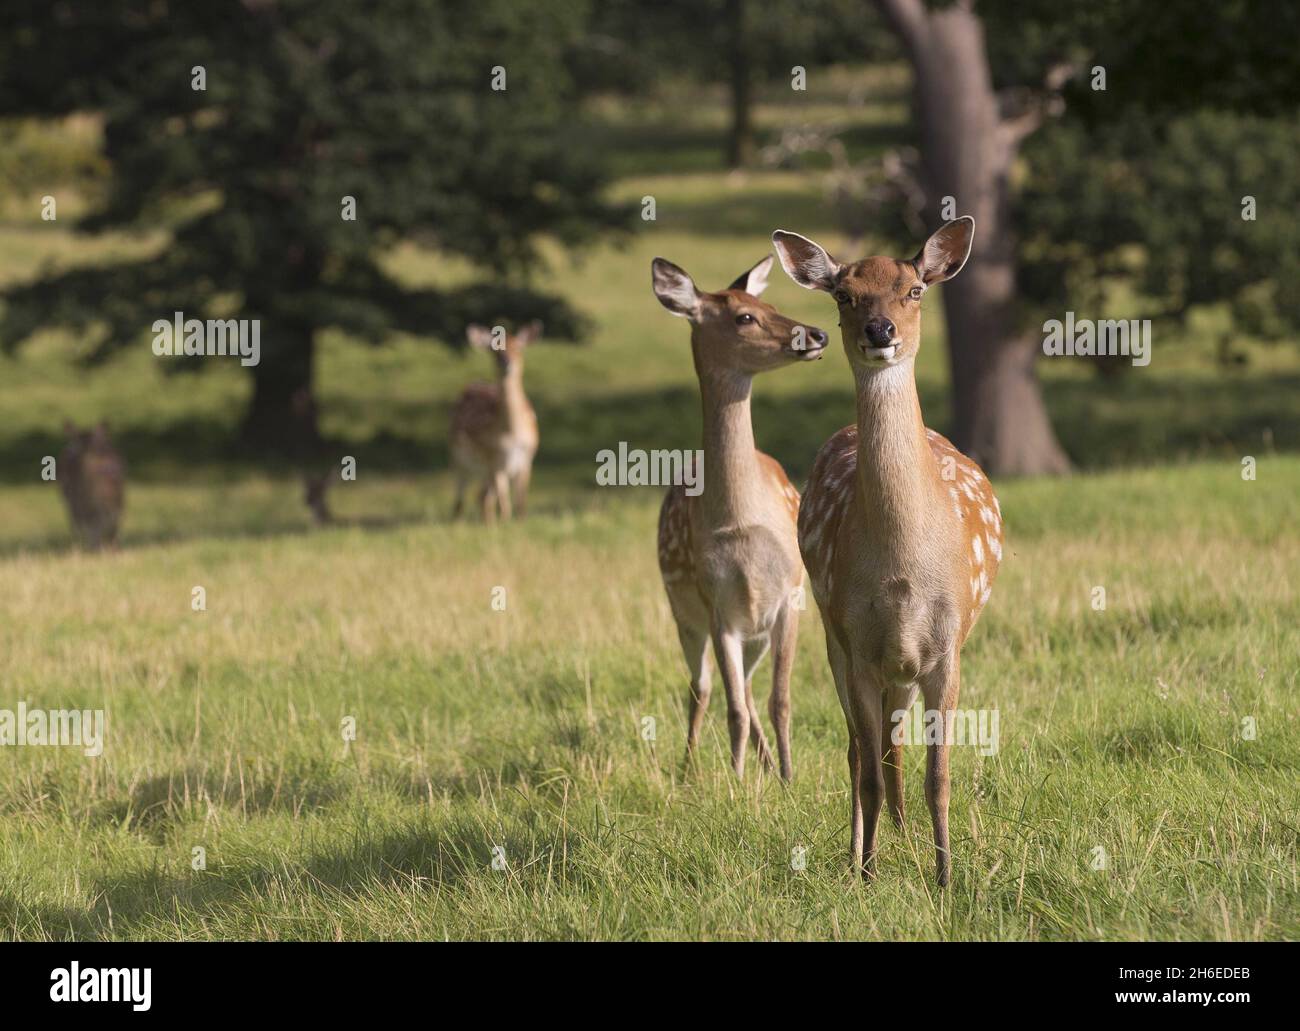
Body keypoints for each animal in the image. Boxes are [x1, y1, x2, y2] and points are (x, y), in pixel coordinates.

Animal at [450, 321, 542, 522]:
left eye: (519, 348)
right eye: (495, 350)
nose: (506, 363)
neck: (511, 433)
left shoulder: (527, 459)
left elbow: (520, 502)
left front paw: (520, 523)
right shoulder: (495, 460)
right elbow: (504, 503)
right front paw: (506, 524)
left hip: (484, 469)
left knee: (481, 496)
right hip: (459, 458)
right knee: (462, 498)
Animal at [652, 254, 828, 780]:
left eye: (768, 303)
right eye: (743, 317)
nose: (816, 333)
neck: (740, 521)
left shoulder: (789, 595)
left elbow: (780, 701)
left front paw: (788, 778)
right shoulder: (717, 605)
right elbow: (731, 708)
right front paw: (735, 782)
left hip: (754, 630)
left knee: (748, 691)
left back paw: (766, 767)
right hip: (682, 610)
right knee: (703, 687)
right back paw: (690, 769)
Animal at [771, 218, 1002, 885]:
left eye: (914, 290)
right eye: (845, 295)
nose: (880, 330)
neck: (902, 573)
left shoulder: (947, 647)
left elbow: (940, 776)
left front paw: (947, 878)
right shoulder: (857, 643)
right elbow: (868, 769)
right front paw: (867, 876)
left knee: (893, 745)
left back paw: (900, 833)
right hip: (833, 637)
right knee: (860, 752)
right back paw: (865, 850)